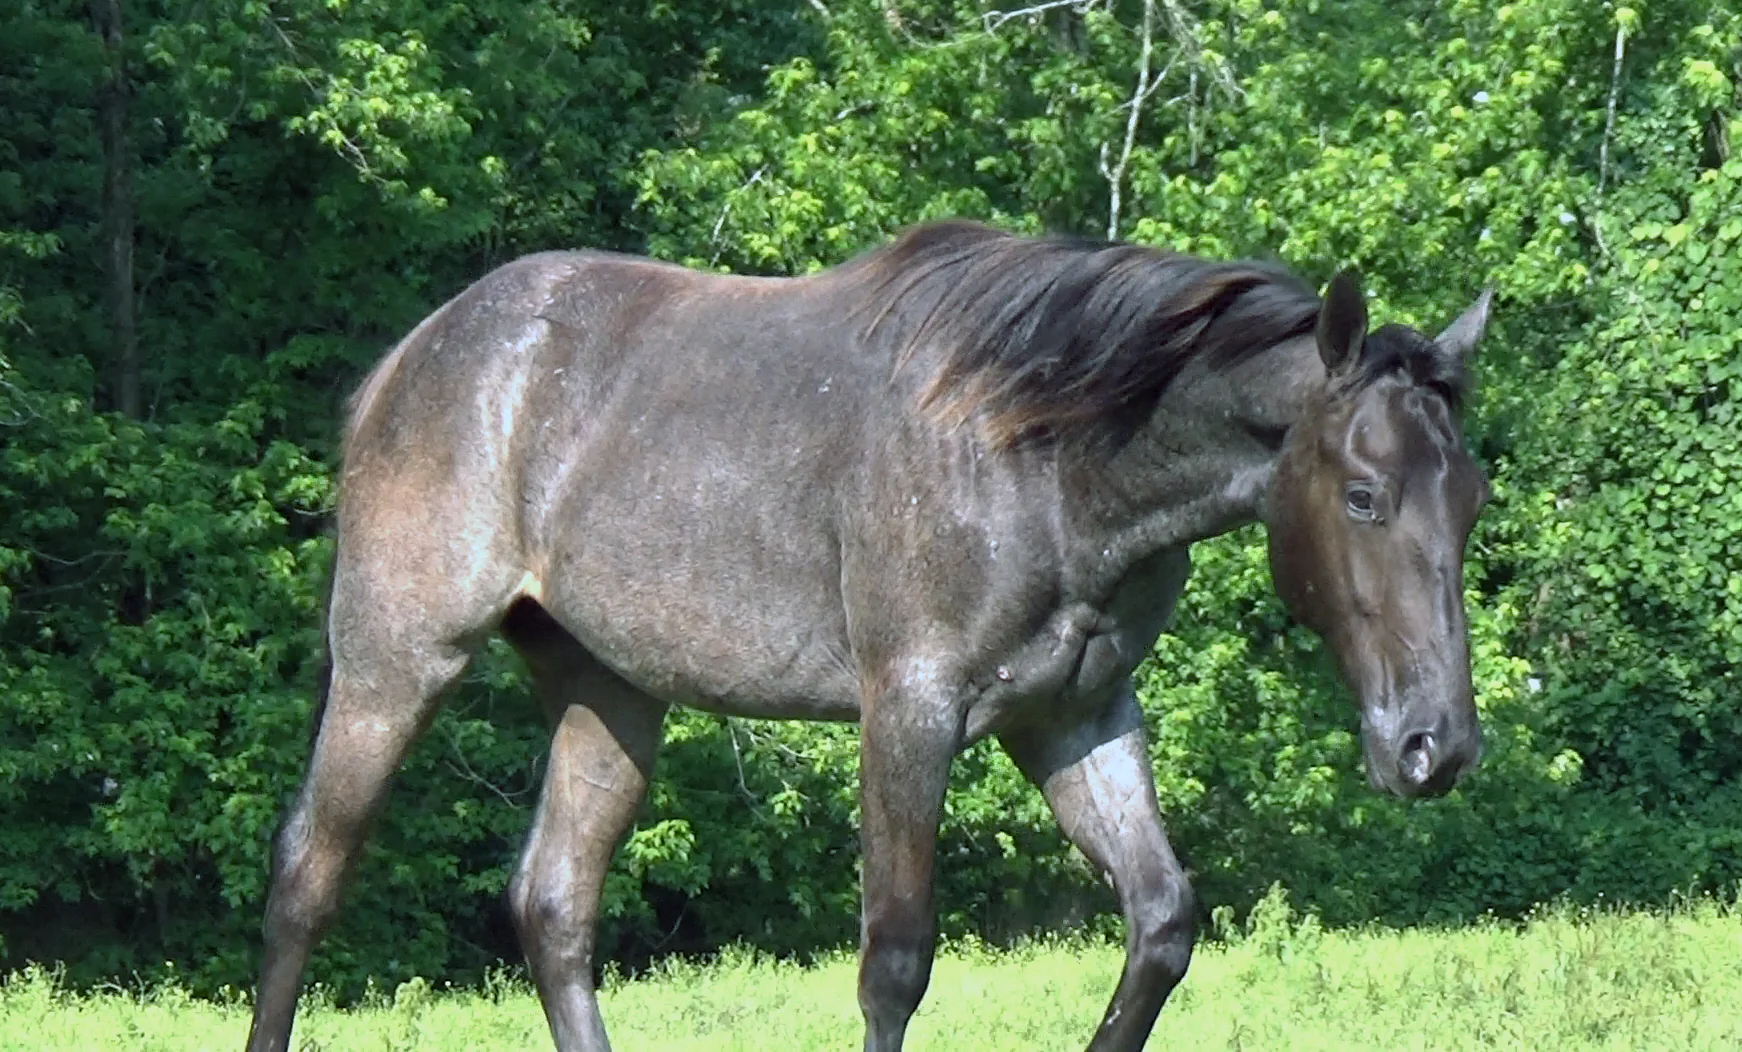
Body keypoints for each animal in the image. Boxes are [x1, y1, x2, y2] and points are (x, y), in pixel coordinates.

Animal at [244, 220, 1494, 1052]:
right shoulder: (910, 708)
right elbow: (893, 961)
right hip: (394, 662)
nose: (1434, 747)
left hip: (609, 690)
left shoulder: (1073, 714)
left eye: (1469, 498)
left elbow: (1160, 923)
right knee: (307, 874)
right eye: (1364, 495)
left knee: (554, 902)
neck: (1045, 454)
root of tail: (412, 360)